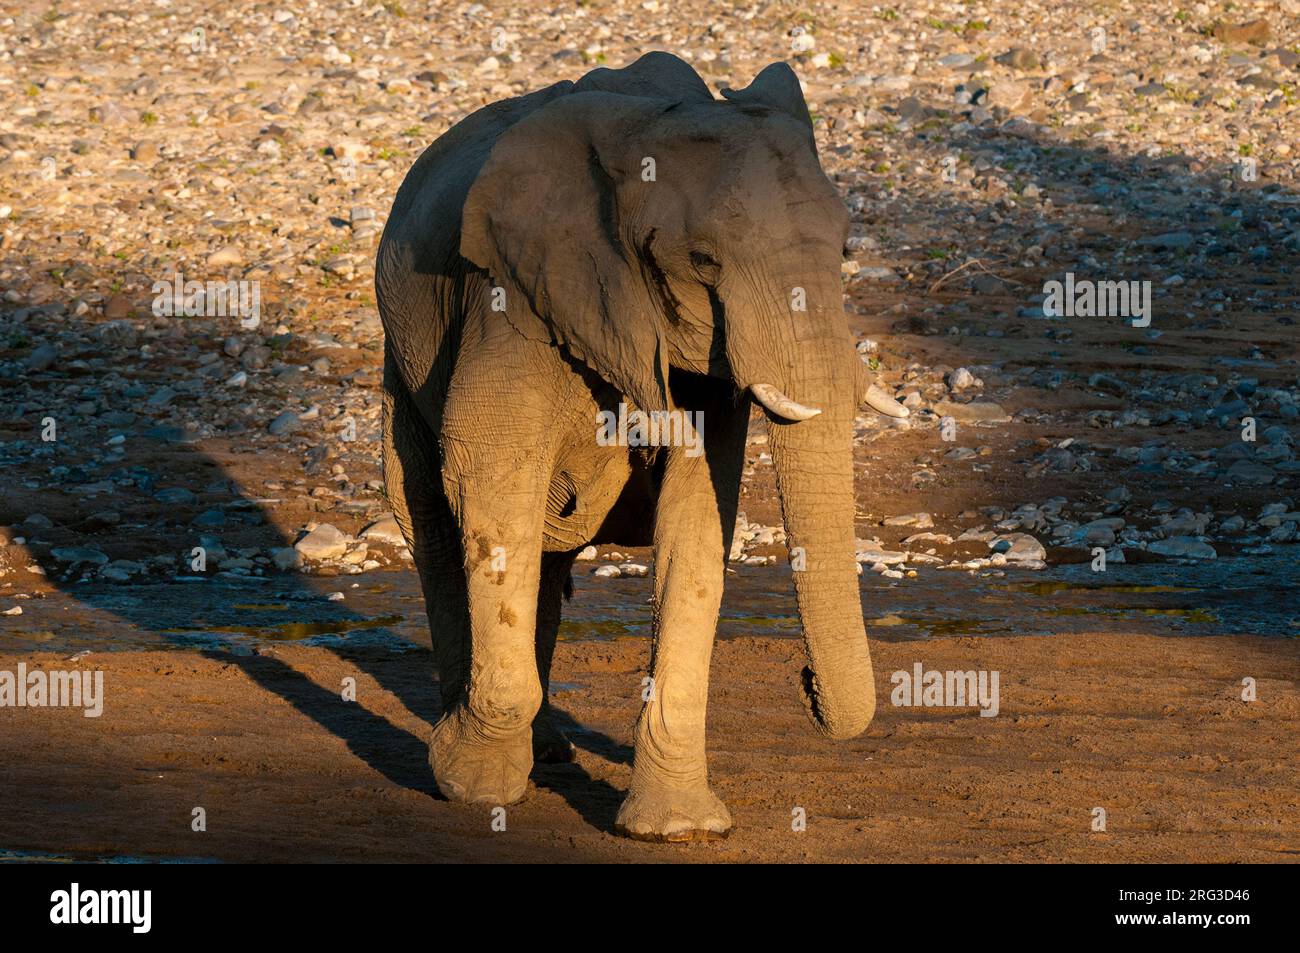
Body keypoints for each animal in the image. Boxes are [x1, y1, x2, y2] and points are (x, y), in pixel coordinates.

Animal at [375, 51, 908, 842]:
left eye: (846, 248)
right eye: (704, 261)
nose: (806, 685)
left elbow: (698, 518)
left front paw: (678, 828)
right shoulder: (511, 301)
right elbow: (491, 480)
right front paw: (473, 785)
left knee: (544, 550)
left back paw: (547, 754)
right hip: (401, 366)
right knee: (436, 525)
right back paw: (476, 757)